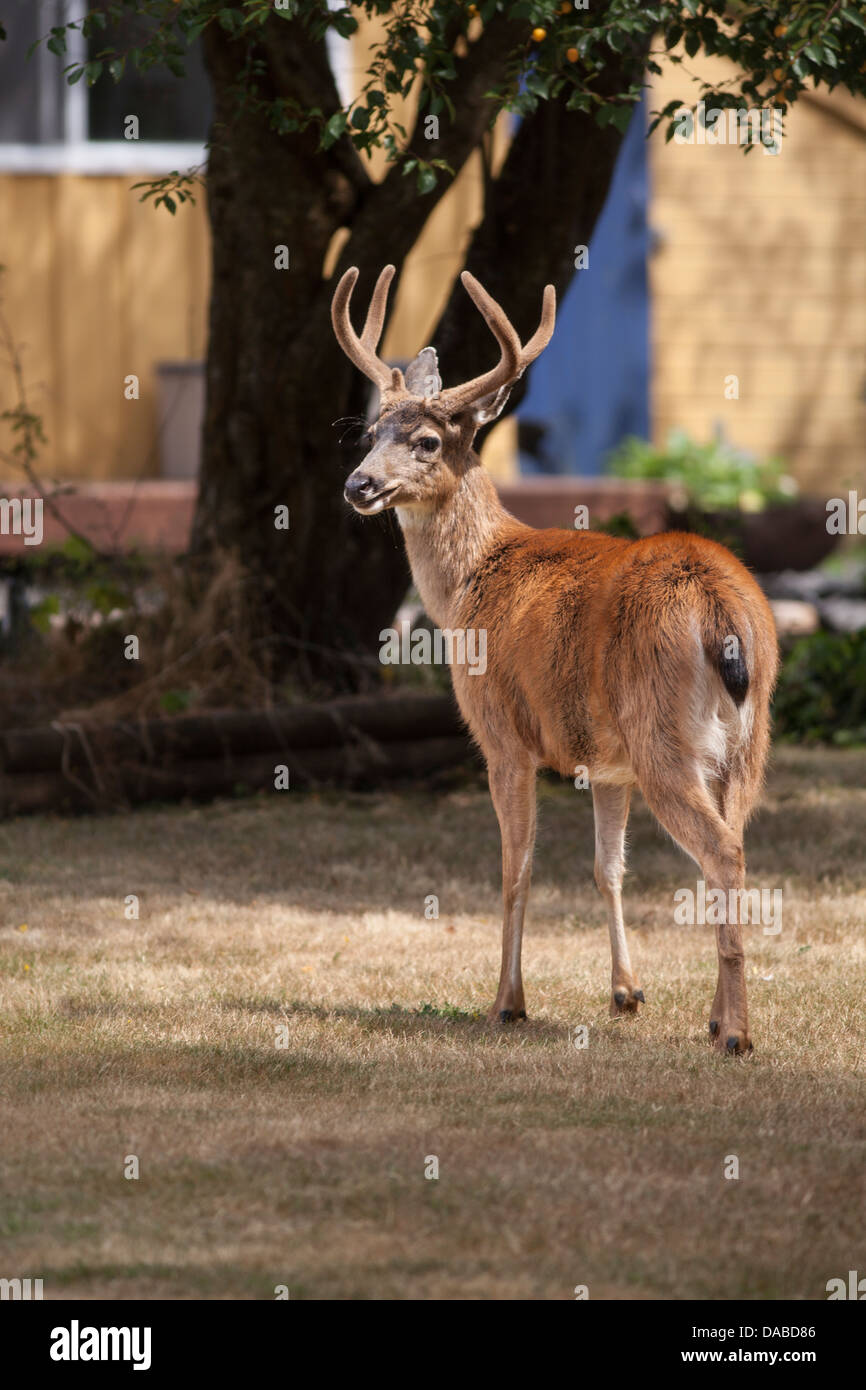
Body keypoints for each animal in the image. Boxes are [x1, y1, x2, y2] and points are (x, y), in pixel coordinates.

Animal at [331, 263, 779, 1055]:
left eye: (426, 441)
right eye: (372, 431)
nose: (359, 485)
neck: (470, 584)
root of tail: (719, 606)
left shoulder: (501, 735)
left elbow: (517, 869)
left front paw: (506, 1002)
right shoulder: (605, 761)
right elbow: (608, 868)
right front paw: (627, 992)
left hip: (663, 735)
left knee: (722, 851)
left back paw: (735, 1033)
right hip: (744, 743)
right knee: (732, 846)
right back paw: (717, 1015)